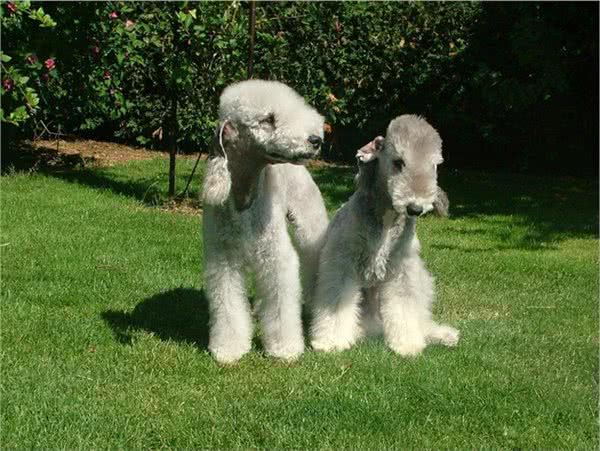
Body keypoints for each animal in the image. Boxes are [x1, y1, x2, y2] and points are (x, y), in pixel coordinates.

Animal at [204, 80, 330, 364]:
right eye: (268, 119)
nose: (315, 140)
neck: (244, 195)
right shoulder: (223, 259)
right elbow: (227, 304)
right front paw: (228, 349)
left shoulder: (276, 256)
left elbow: (282, 303)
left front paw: (285, 349)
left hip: (310, 224)